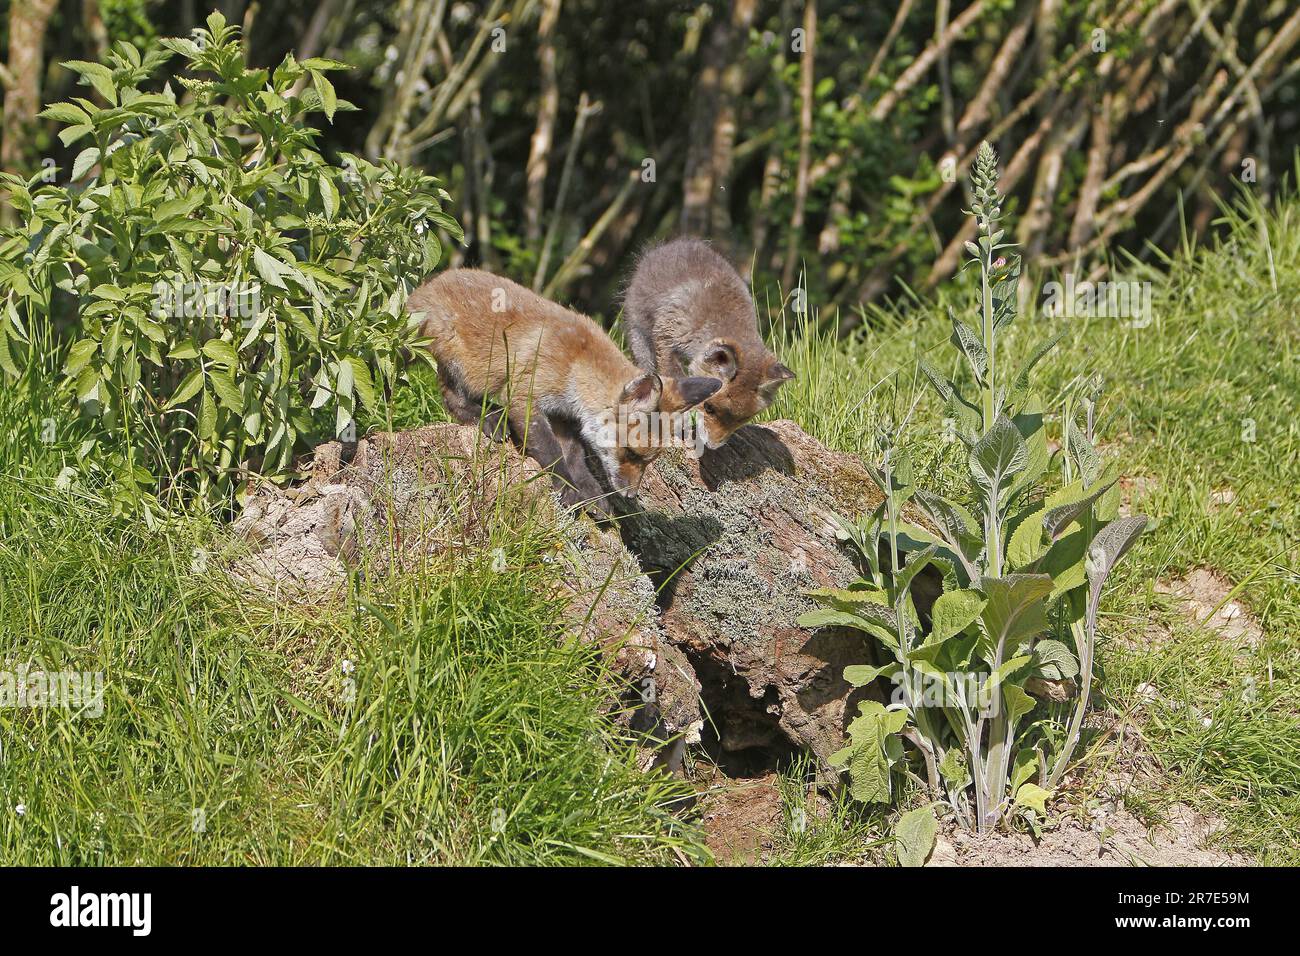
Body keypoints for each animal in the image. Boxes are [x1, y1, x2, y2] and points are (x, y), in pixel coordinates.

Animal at [406, 269, 722, 506]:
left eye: (650, 460)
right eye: (631, 454)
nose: (630, 496)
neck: (575, 366)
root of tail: (423, 288)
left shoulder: (564, 415)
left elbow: (575, 456)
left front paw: (590, 493)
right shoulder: (525, 397)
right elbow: (551, 453)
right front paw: (568, 488)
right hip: (456, 363)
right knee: (452, 400)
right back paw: (484, 417)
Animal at [621, 237, 795, 449]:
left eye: (741, 419)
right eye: (709, 408)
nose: (712, 446)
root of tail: (676, 243)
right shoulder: (666, 337)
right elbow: (674, 379)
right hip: (639, 335)